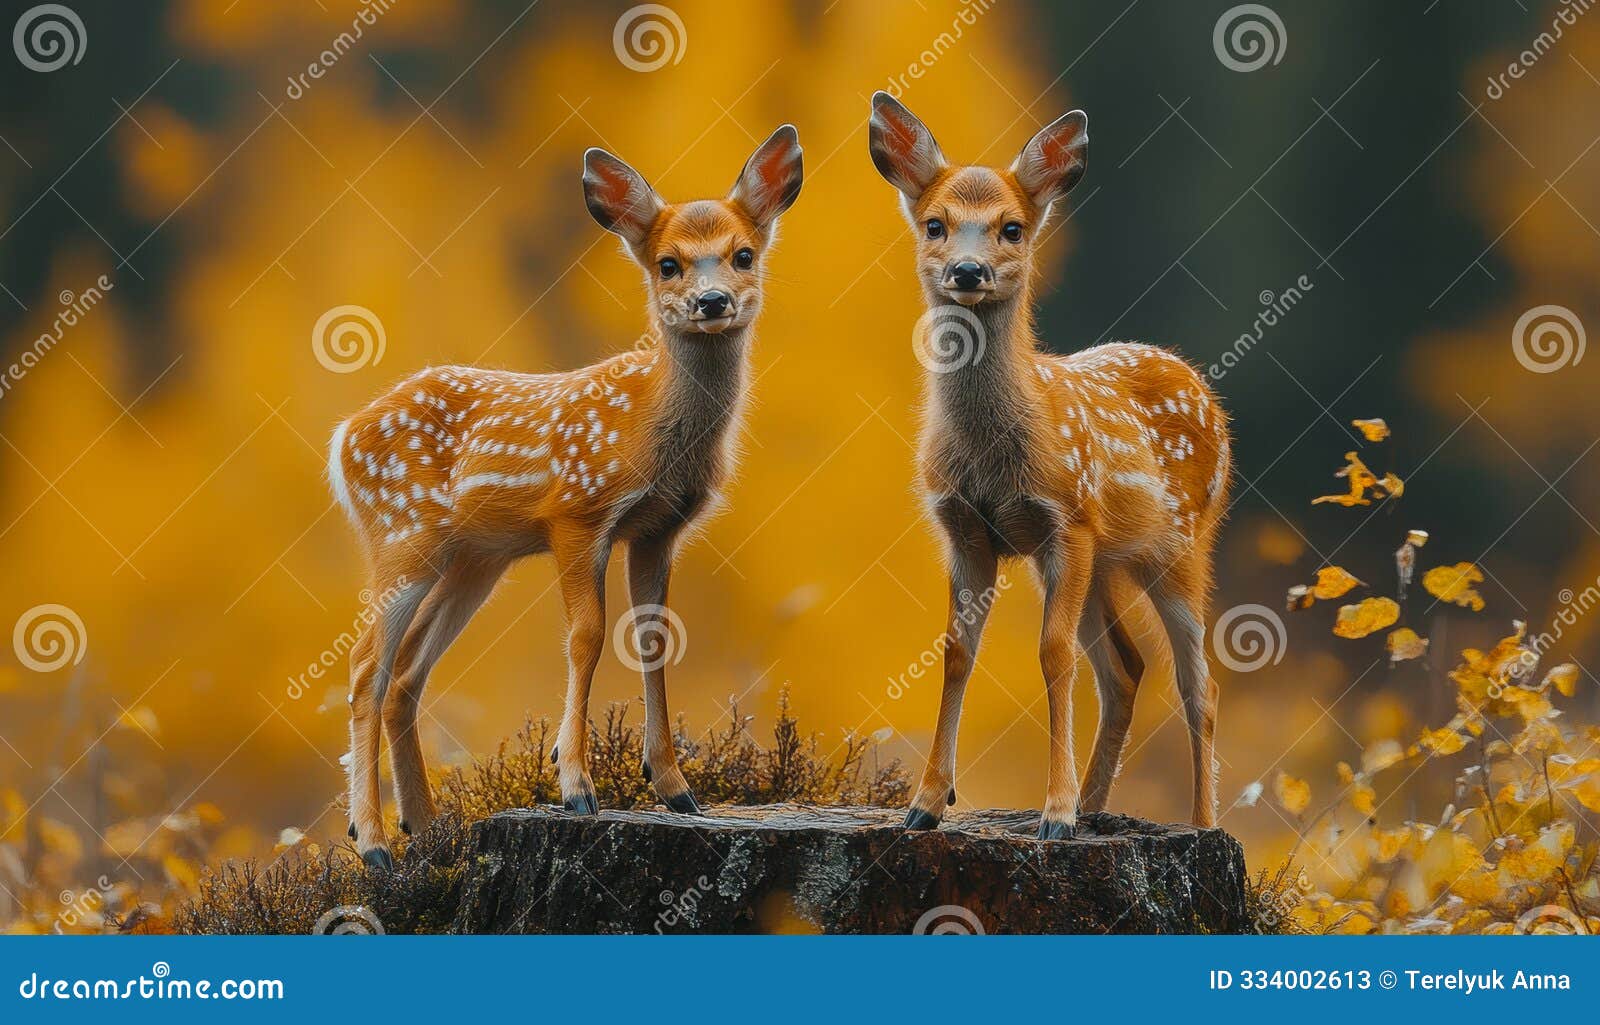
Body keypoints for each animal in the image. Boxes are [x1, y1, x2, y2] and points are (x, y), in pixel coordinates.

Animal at [327, 125, 803, 870]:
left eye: (743, 254)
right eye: (668, 264)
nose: (713, 302)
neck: (653, 426)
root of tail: (344, 436)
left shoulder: (658, 527)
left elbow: (653, 638)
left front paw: (674, 786)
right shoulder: (577, 514)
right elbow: (585, 636)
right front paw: (575, 782)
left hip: (474, 560)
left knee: (404, 673)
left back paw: (426, 828)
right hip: (400, 537)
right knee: (362, 668)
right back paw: (374, 841)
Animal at [866, 92, 1231, 840]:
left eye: (1011, 227)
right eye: (935, 224)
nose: (967, 272)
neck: (991, 455)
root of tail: (1196, 380)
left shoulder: (1068, 521)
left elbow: (1052, 654)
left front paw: (1053, 813)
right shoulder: (967, 531)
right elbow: (956, 650)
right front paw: (925, 803)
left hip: (1180, 546)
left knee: (1198, 682)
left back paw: (1199, 823)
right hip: (1104, 563)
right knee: (1126, 667)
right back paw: (1095, 807)